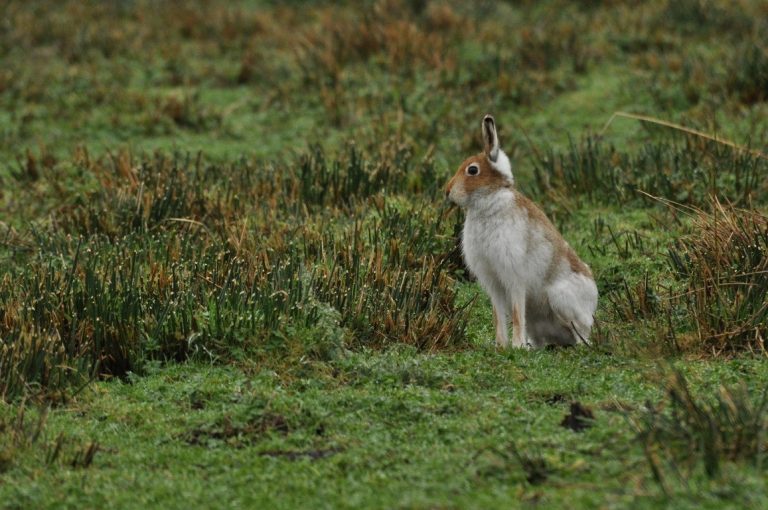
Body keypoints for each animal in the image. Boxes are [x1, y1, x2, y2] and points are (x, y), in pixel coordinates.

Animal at [445, 114, 598, 348]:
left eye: (472, 170)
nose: (447, 191)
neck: (490, 201)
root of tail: (593, 304)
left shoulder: (514, 275)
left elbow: (517, 313)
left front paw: (515, 346)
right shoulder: (493, 282)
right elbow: (498, 315)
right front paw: (500, 346)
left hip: (561, 299)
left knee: (581, 333)